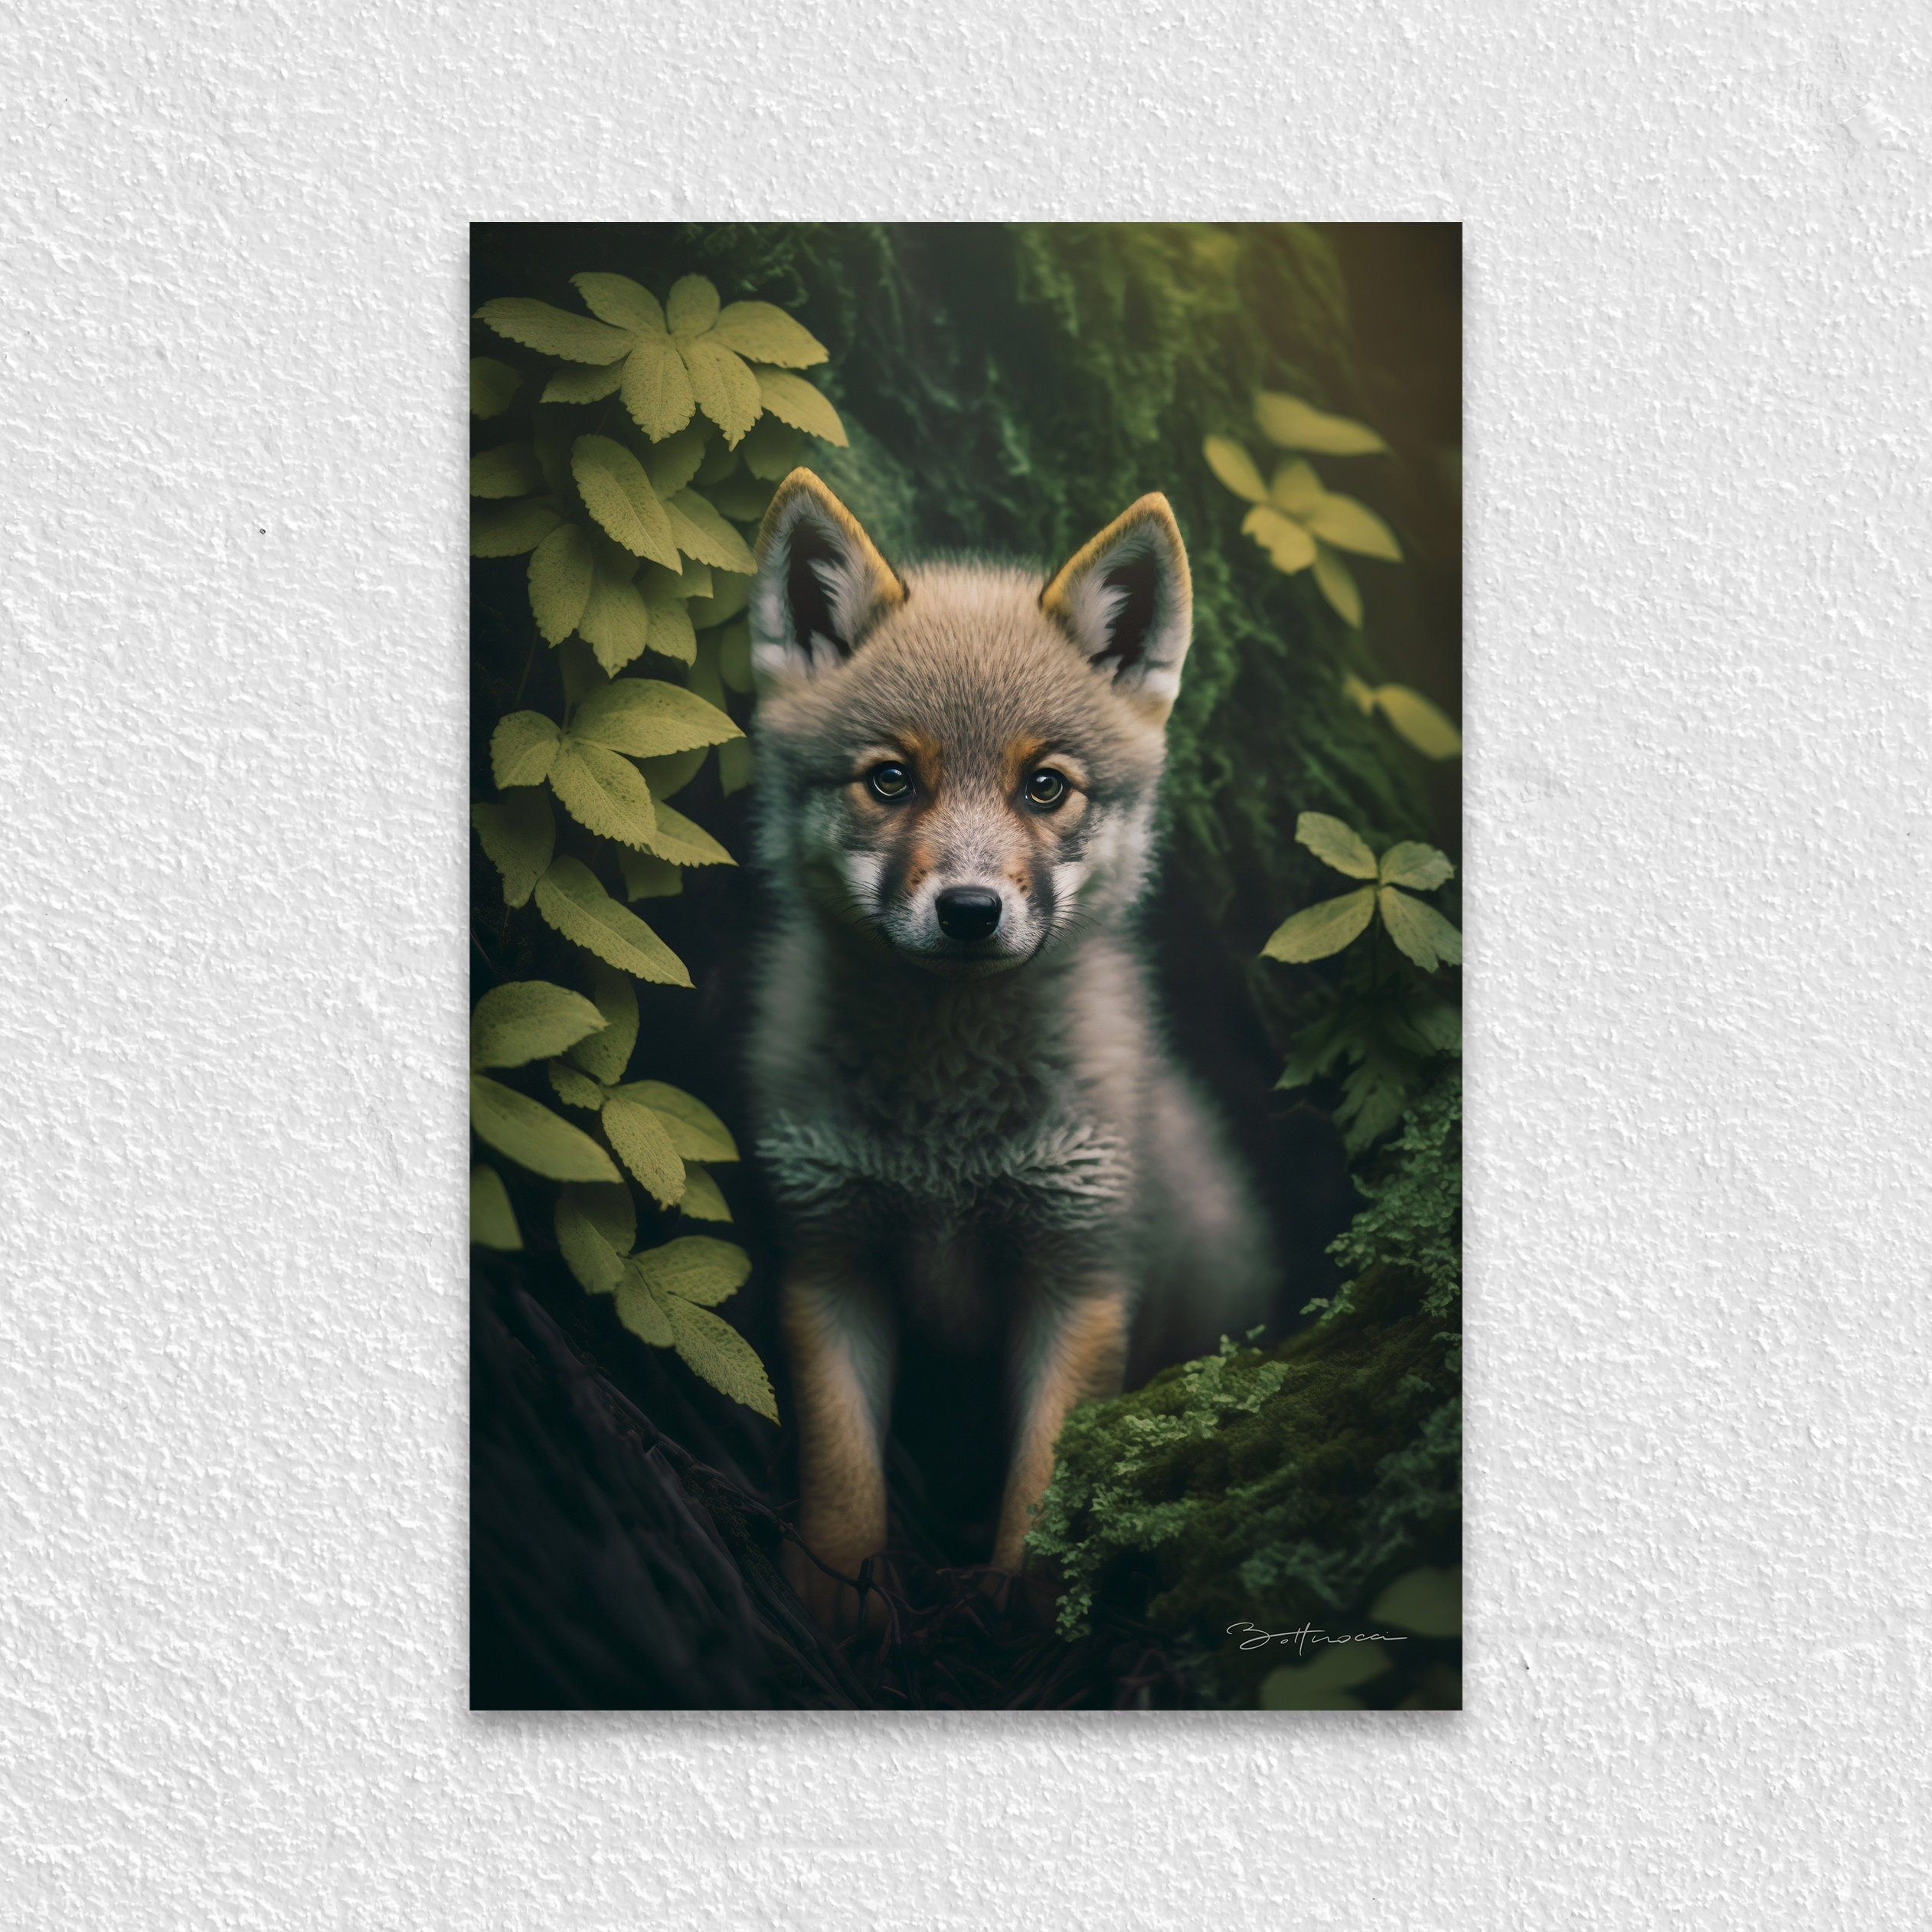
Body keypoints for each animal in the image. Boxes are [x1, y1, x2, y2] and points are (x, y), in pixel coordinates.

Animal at [745, 470, 1274, 1629]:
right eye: (890, 781)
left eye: (1045, 787)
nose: (971, 911)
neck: (946, 1146)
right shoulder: (828, 1251)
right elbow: (842, 1478)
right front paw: (838, 1607)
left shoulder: (1079, 1272)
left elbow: (1042, 1488)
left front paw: (1023, 1618)